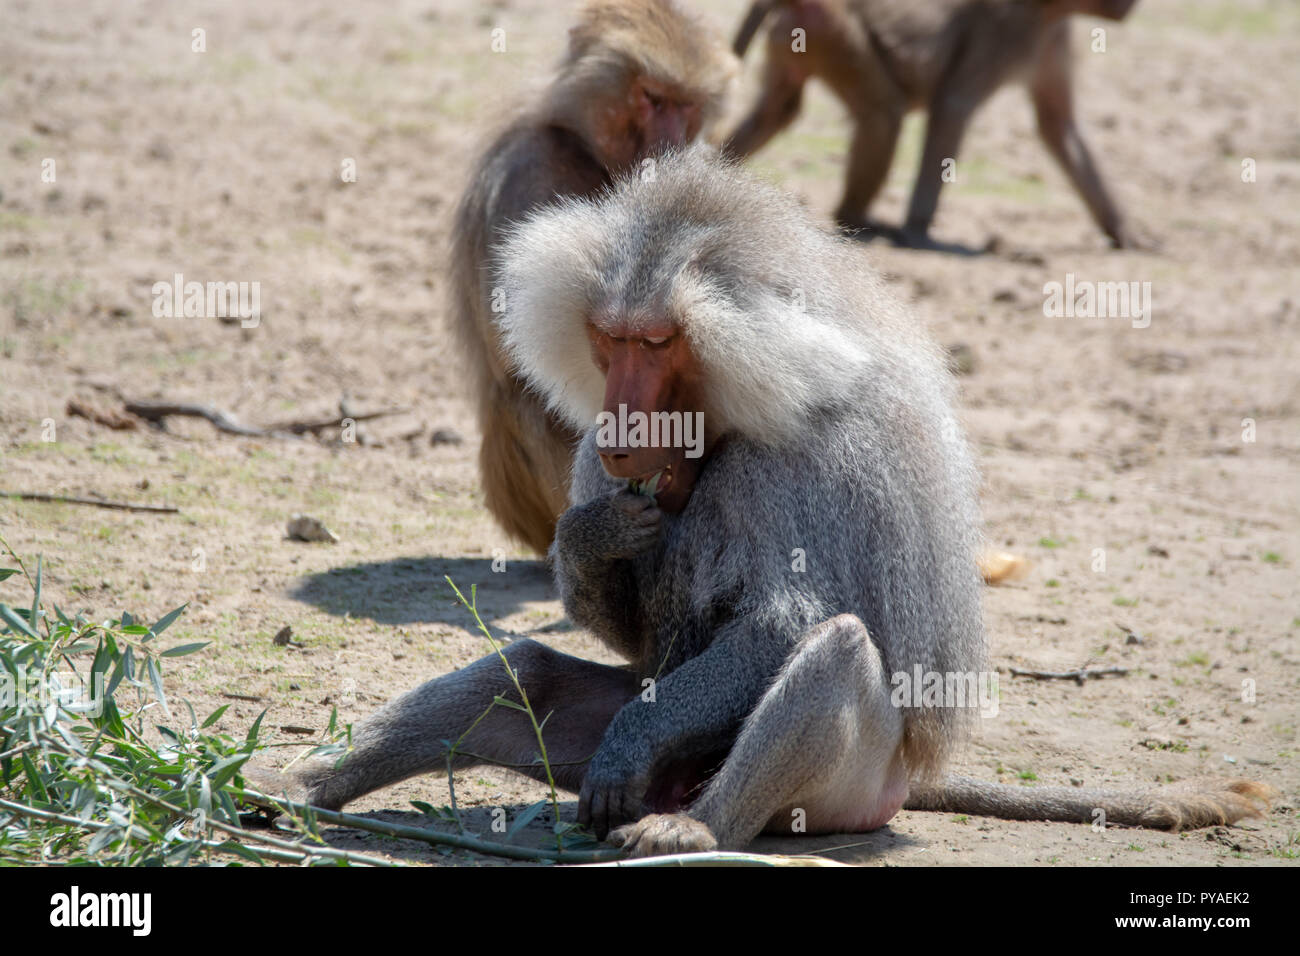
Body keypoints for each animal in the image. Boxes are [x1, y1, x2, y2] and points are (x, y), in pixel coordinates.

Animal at [247, 148, 1272, 856]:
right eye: (609, 336)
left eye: (658, 341)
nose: (617, 429)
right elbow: (620, 621)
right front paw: (590, 537)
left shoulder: (795, 463)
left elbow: (783, 622)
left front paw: (637, 737)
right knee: (524, 674)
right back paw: (290, 783)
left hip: (846, 790)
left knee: (836, 649)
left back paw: (691, 830)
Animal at [449, 0, 737, 556]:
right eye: (651, 98)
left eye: (687, 105)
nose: (672, 148)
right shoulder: (531, 178)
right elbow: (527, 352)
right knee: (524, 401)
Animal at [724, 0, 1141, 250]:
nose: (1130, 6)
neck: (1048, 8)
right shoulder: (1007, 30)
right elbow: (952, 107)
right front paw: (917, 231)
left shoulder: (1052, 36)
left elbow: (1059, 126)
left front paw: (1125, 232)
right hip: (830, 26)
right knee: (884, 115)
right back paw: (855, 222)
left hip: (797, 37)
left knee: (776, 111)